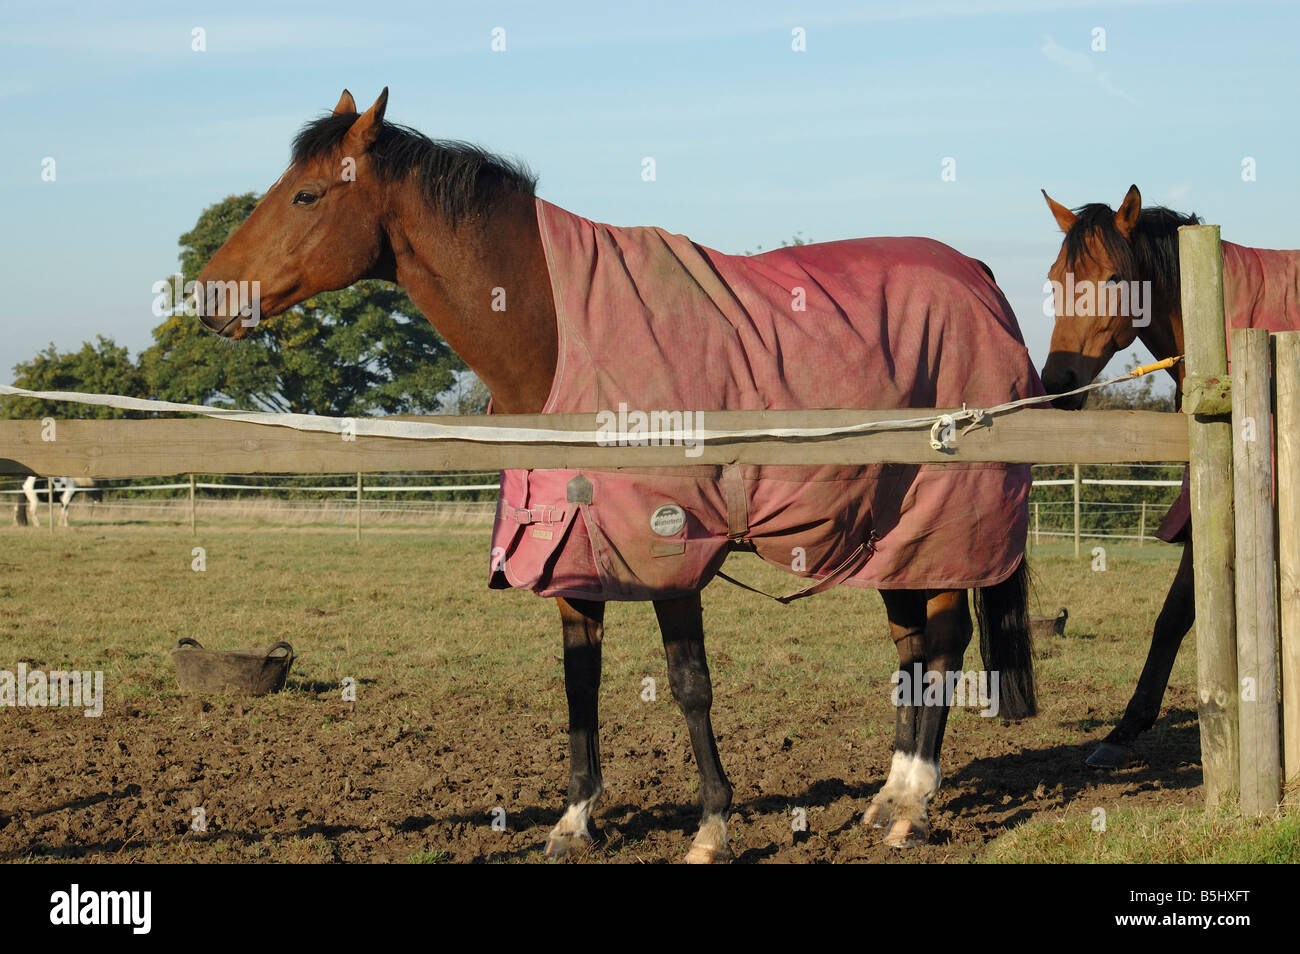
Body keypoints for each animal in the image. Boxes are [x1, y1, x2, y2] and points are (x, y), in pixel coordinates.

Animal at [193, 88, 1042, 861]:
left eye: (307, 194)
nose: (207, 294)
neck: (559, 335)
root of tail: (976, 275)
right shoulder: (572, 549)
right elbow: (580, 680)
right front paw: (574, 822)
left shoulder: (672, 551)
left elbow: (690, 683)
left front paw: (711, 827)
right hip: (893, 533)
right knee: (912, 646)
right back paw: (888, 796)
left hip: (946, 520)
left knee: (945, 640)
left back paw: (915, 809)